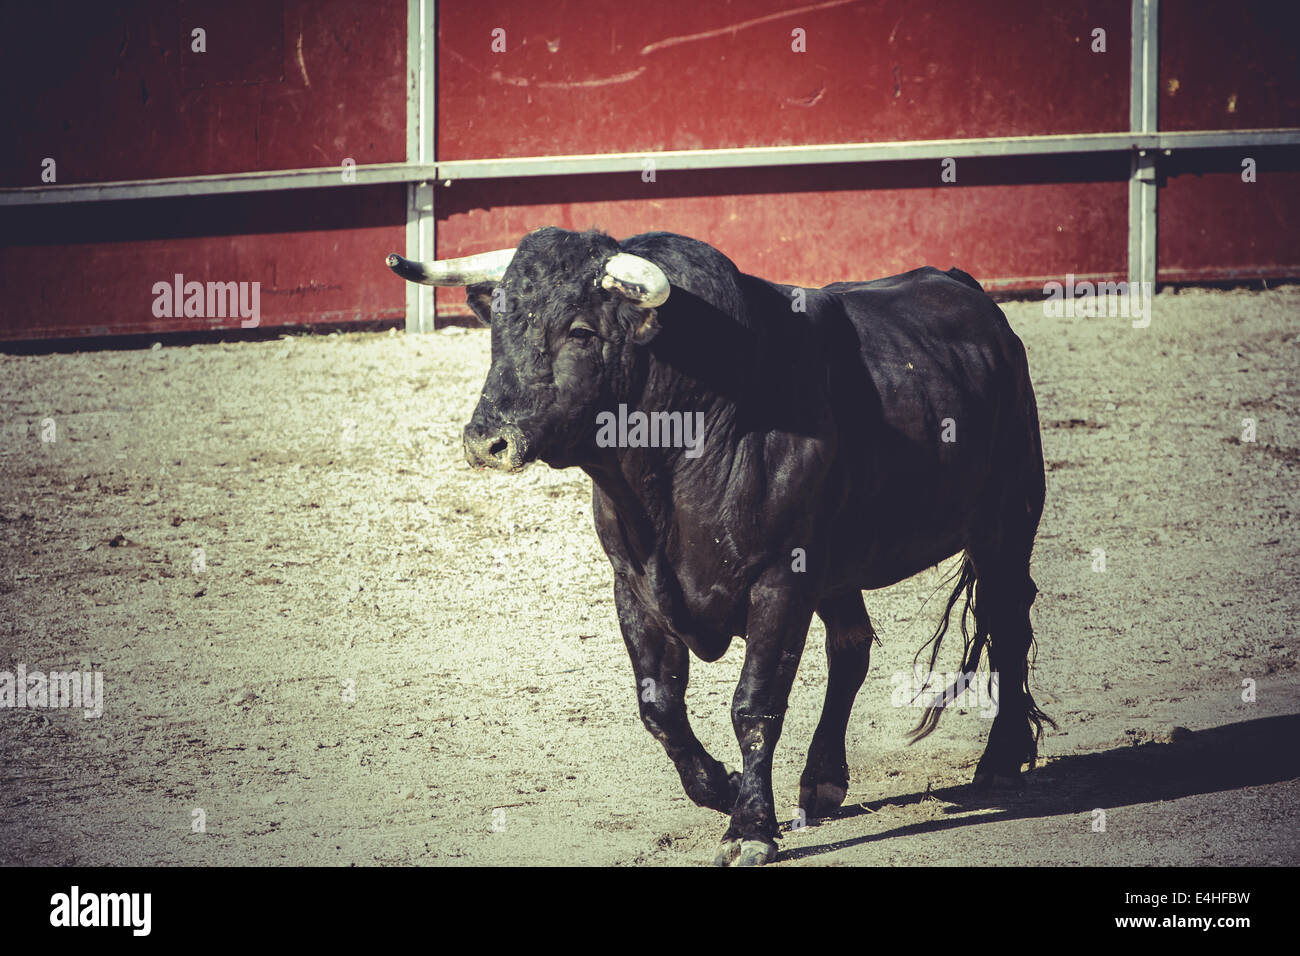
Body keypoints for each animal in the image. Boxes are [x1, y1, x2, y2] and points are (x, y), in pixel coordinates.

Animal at [386, 227, 1053, 866]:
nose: (487, 441)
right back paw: (822, 782)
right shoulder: (634, 585)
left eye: (579, 330)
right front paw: (725, 788)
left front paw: (749, 829)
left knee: (1007, 623)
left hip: (1005, 524)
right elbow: (659, 707)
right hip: (841, 569)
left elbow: (754, 706)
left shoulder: (780, 582)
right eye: (497, 328)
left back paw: (1001, 760)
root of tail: (968, 291)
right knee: (852, 646)